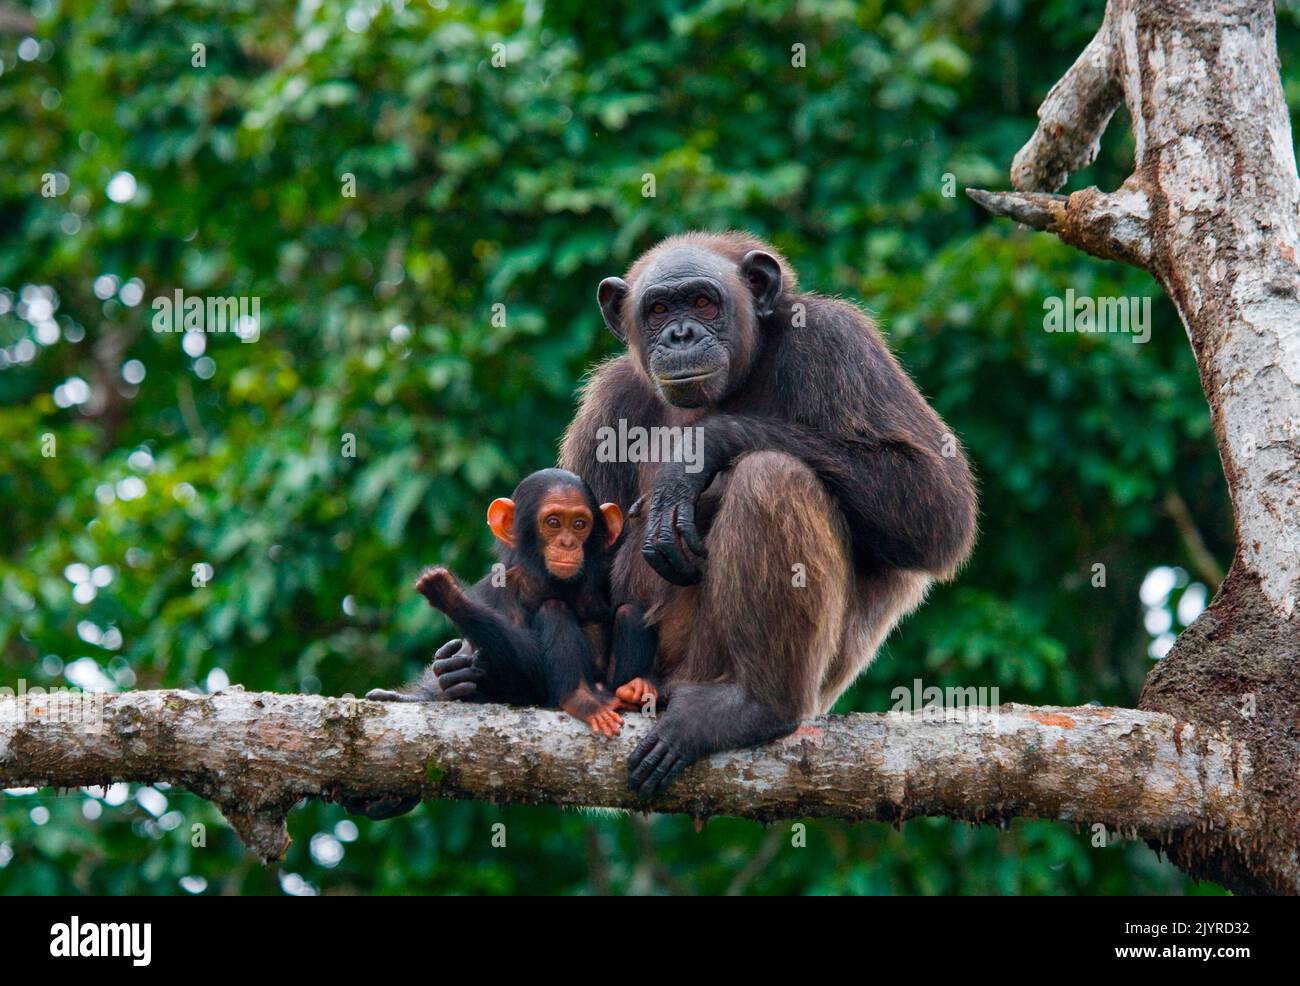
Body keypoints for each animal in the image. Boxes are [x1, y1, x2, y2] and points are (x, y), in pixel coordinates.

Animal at [369, 468, 660, 736]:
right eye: (553, 522)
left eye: (579, 524)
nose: (567, 543)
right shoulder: (494, 592)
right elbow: (526, 672)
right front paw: (452, 597)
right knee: (553, 609)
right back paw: (581, 699)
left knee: (630, 612)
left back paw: (634, 690)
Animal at [424, 231, 977, 798]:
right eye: (659, 309)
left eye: (703, 302)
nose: (681, 333)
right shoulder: (608, 400)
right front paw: (459, 668)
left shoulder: (839, 342)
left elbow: (935, 499)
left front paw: (697, 451)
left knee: (772, 476)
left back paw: (755, 706)